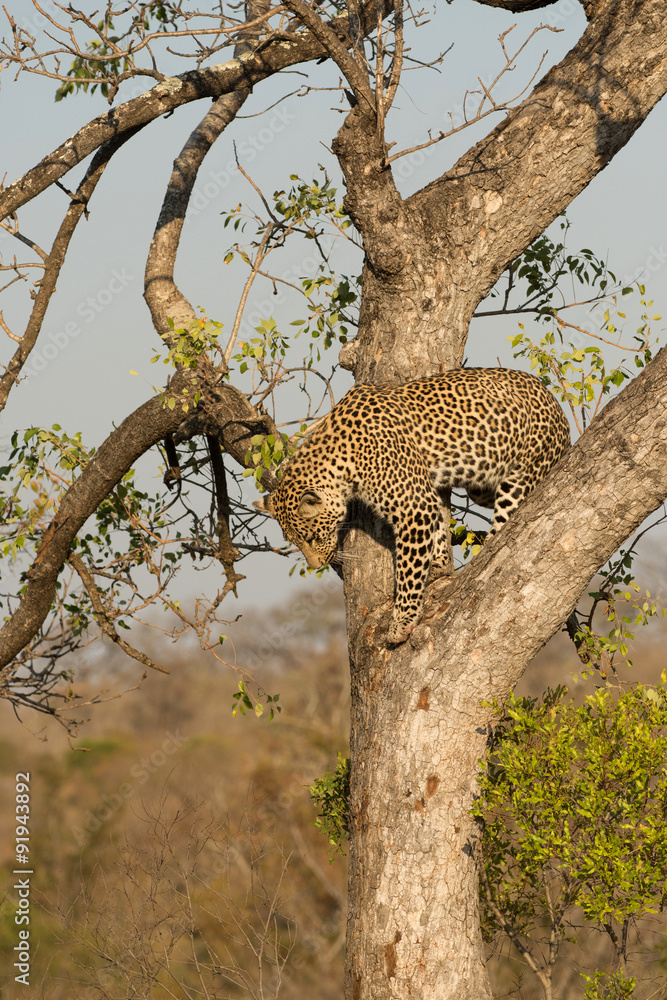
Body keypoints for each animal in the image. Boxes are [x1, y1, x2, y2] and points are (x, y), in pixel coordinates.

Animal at [253, 367, 570, 644]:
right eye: (296, 542)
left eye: (313, 538)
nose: (316, 566)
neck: (341, 460)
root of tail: (559, 409)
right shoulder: (426, 496)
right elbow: (438, 530)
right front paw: (439, 565)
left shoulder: (414, 507)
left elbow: (408, 569)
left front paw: (402, 621)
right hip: (482, 484)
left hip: (520, 475)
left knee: (506, 523)